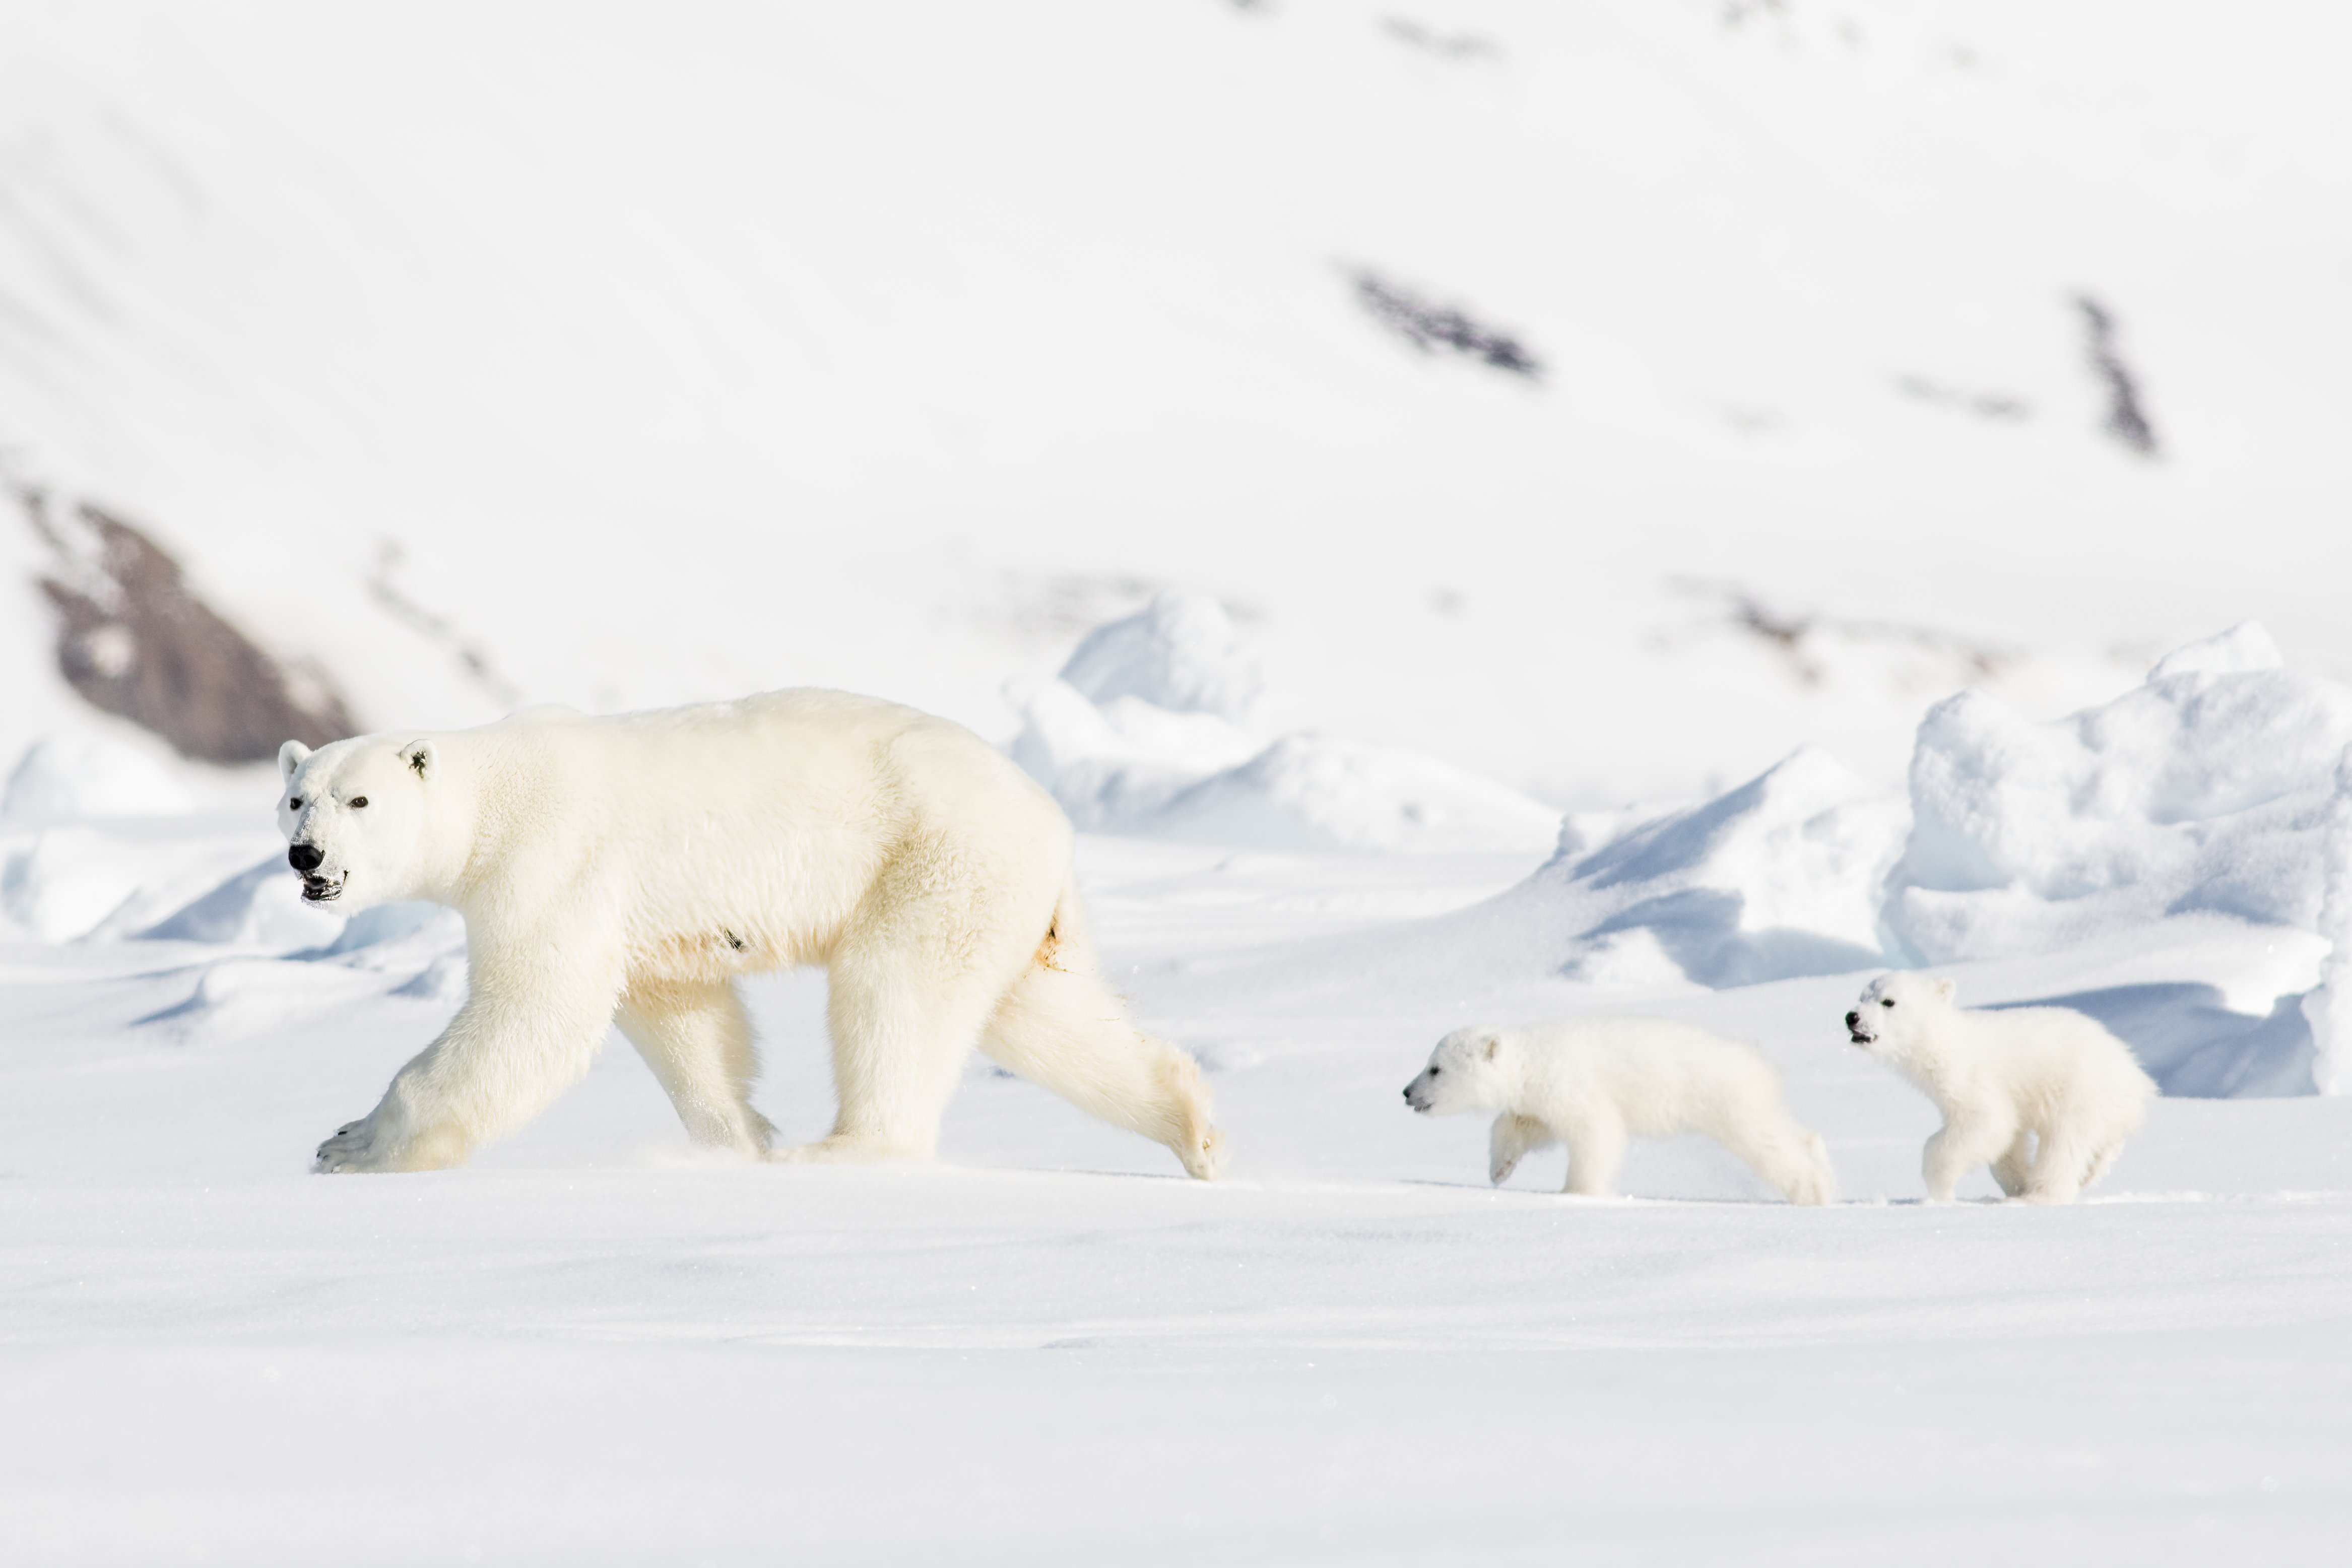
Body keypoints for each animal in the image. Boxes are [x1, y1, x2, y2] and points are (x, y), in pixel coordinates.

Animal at [276, 689, 1225, 1179]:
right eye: (295, 797)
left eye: (360, 799)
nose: (305, 854)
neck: (496, 795)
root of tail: (1051, 817)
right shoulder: (647, 924)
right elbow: (682, 1018)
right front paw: (734, 1142)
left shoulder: (553, 863)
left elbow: (538, 1008)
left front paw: (349, 1144)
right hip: (1006, 896)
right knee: (1037, 1013)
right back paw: (1193, 1125)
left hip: (933, 859)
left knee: (897, 991)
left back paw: (845, 1149)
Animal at [1401, 1019, 1835, 1204]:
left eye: (1435, 1068)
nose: (1407, 1092)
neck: (1537, 1058)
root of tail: (1758, 1062)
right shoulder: (1542, 1097)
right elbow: (1523, 1124)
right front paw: (1500, 1170)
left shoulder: (1573, 1084)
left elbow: (1596, 1132)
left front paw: (1577, 1192)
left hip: (1726, 1098)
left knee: (1766, 1142)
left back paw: (1812, 1191)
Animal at [1844, 972, 2156, 1204]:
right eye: (1862, 996)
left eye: (1889, 1001)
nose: (1852, 1017)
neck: (1946, 1045)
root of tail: (2134, 1072)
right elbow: (2007, 1145)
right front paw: (2017, 1184)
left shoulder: (1975, 1080)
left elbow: (1989, 1125)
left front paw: (1940, 1192)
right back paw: (2090, 1172)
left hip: (2077, 1088)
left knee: (2063, 1142)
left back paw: (2040, 1196)